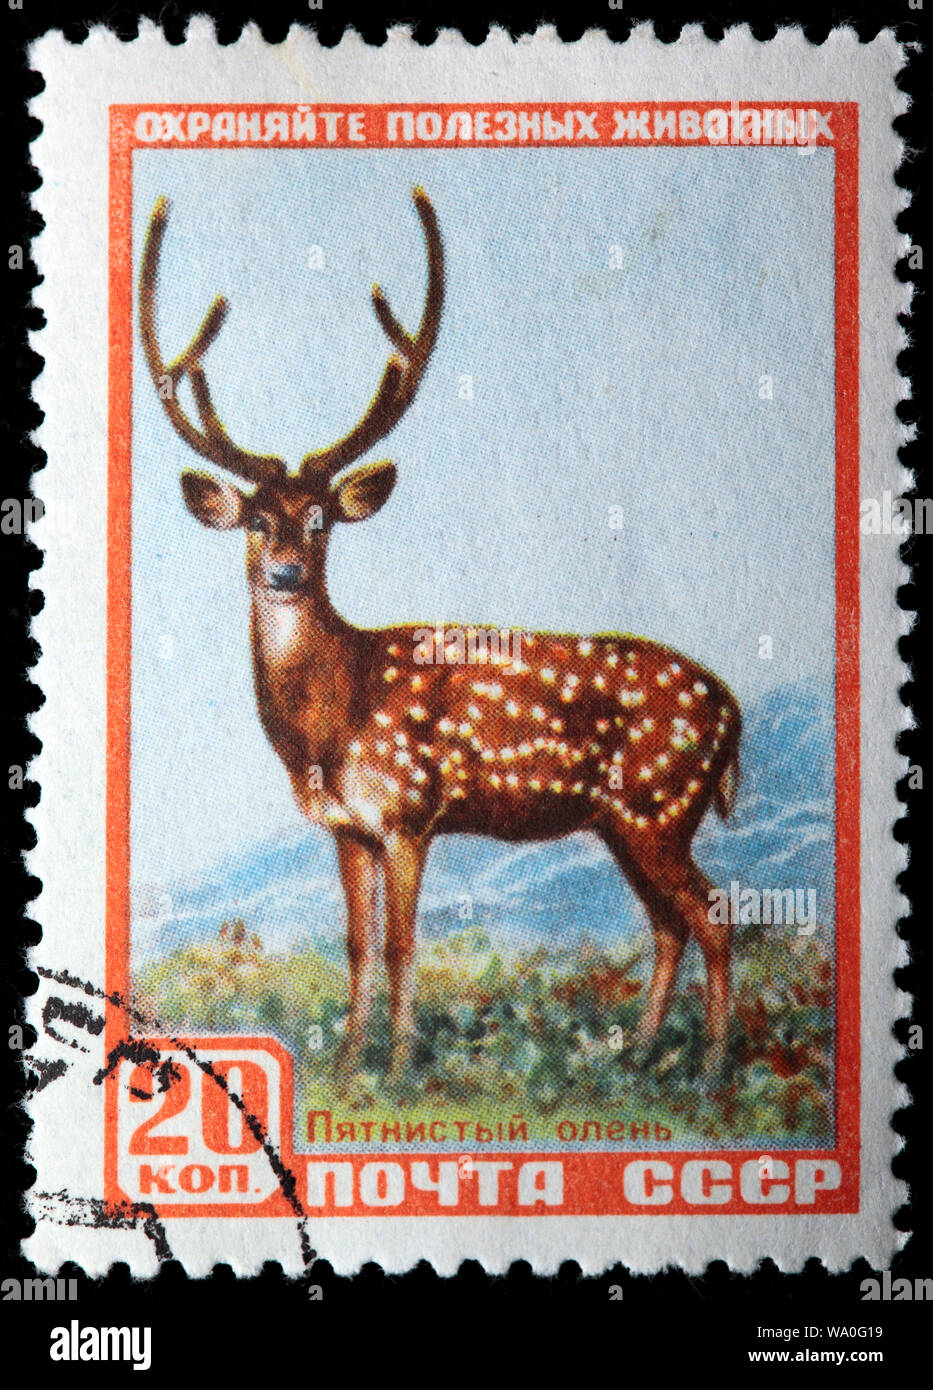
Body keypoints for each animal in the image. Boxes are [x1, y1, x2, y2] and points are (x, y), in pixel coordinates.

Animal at [138, 188, 742, 1082]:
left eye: (318, 519)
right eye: (254, 519)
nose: (283, 573)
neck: (329, 722)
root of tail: (732, 712)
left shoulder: (409, 808)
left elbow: (400, 944)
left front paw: (395, 1068)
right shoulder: (347, 826)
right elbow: (356, 944)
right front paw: (346, 1067)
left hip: (657, 800)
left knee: (715, 911)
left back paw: (709, 1070)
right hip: (626, 819)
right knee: (669, 922)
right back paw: (637, 1056)